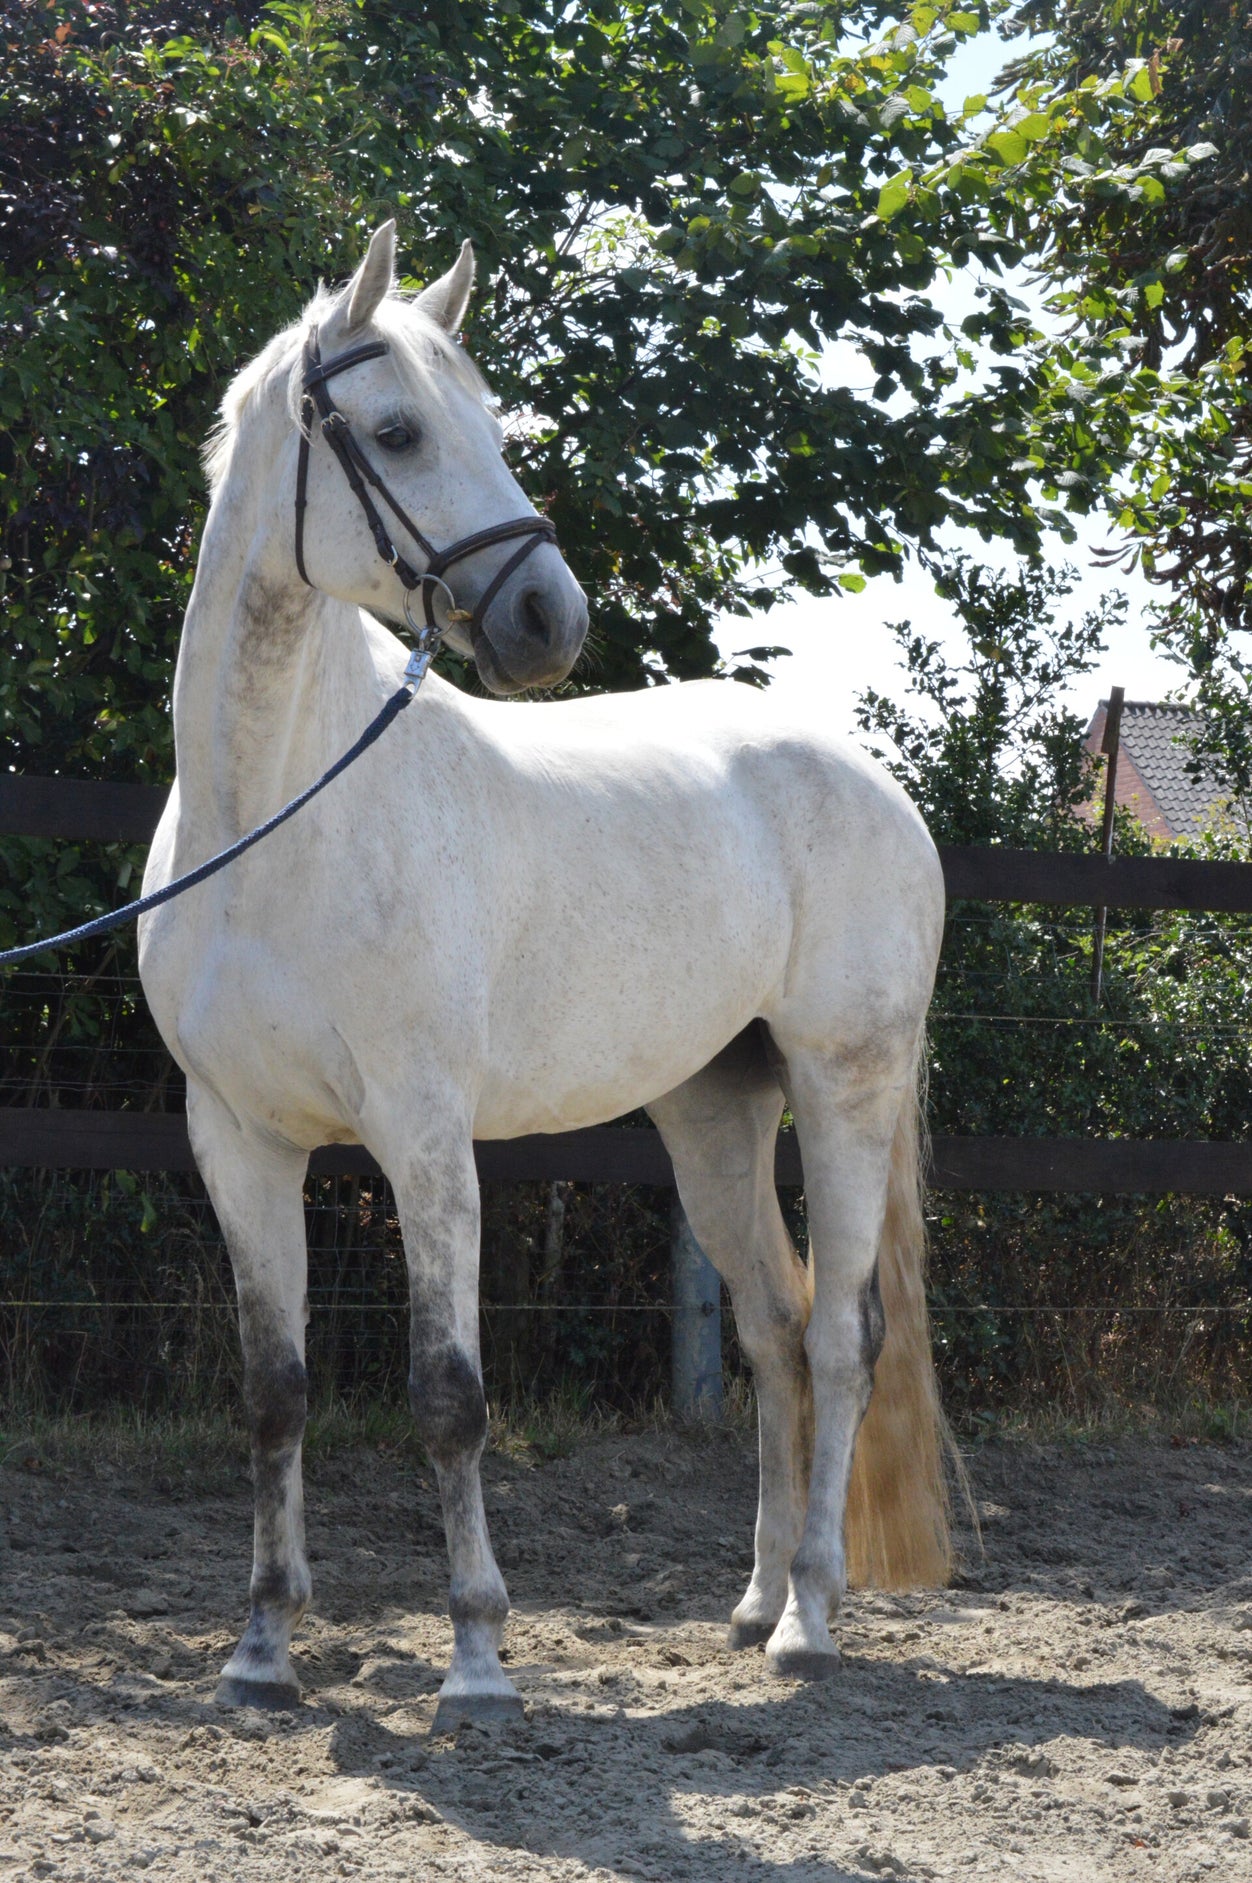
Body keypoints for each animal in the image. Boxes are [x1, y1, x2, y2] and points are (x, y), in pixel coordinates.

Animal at [137, 220, 951, 1734]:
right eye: (396, 430)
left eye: (493, 425)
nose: (546, 617)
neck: (276, 820)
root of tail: (868, 774)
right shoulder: (241, 1137)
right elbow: (274, 1390)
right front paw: (262, 1652)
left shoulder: (422, 1135)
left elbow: (449, 1393)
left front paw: (475, 1662)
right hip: (713, 1110)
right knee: (773, 1327)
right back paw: (753, 1599)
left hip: (844, 1085)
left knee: (839, 1338)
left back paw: (807, 1622)